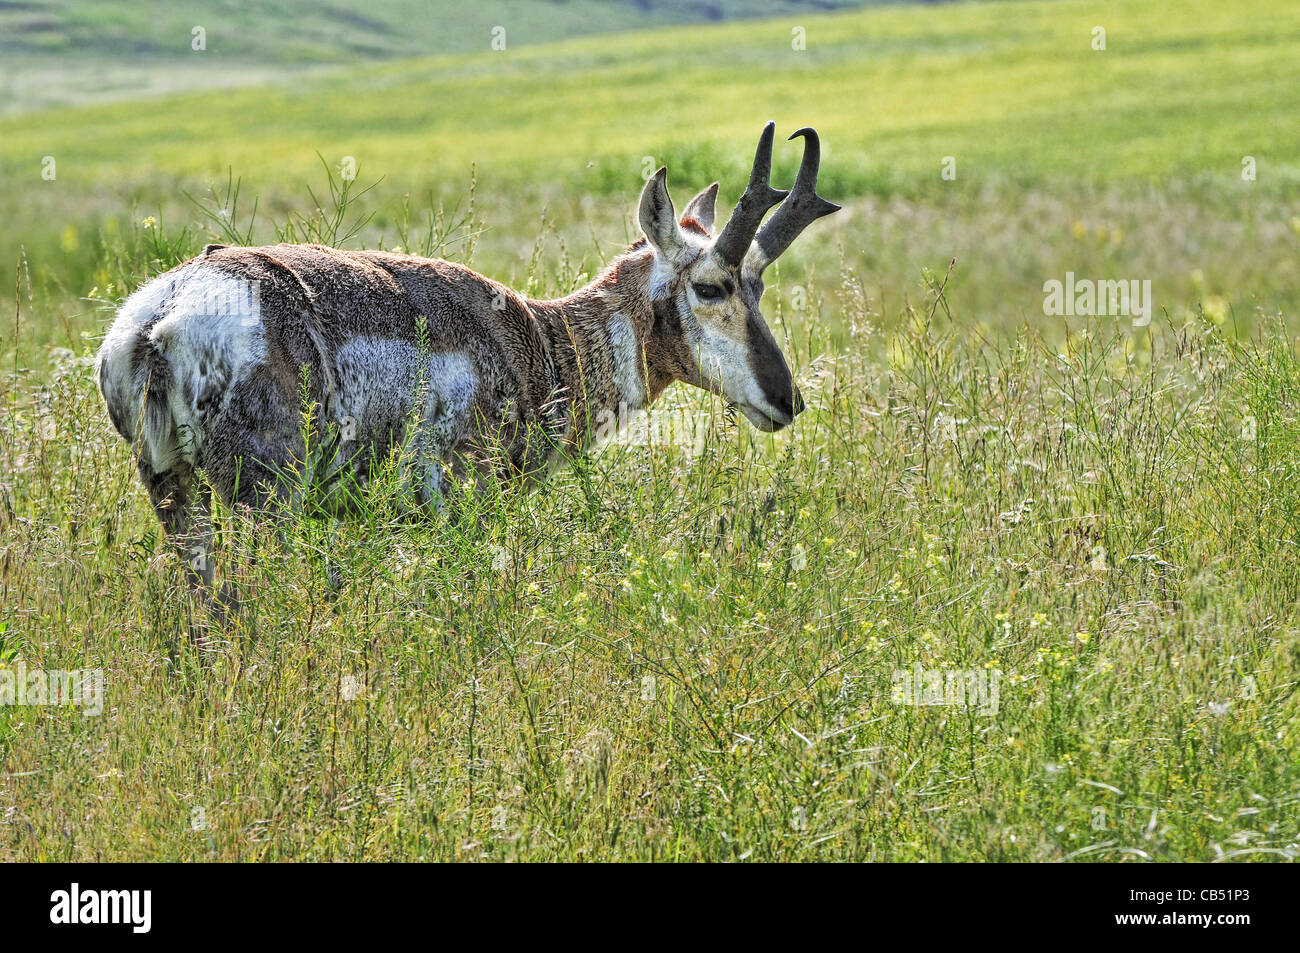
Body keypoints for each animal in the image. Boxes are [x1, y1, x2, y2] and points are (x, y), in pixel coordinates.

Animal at [95, 123, 839, 596]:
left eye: (758, 284)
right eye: (711, 286)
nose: (787, 400)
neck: (535, 335)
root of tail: (161, 316)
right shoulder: (461, 503)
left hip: (174, 492)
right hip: (266, 500)